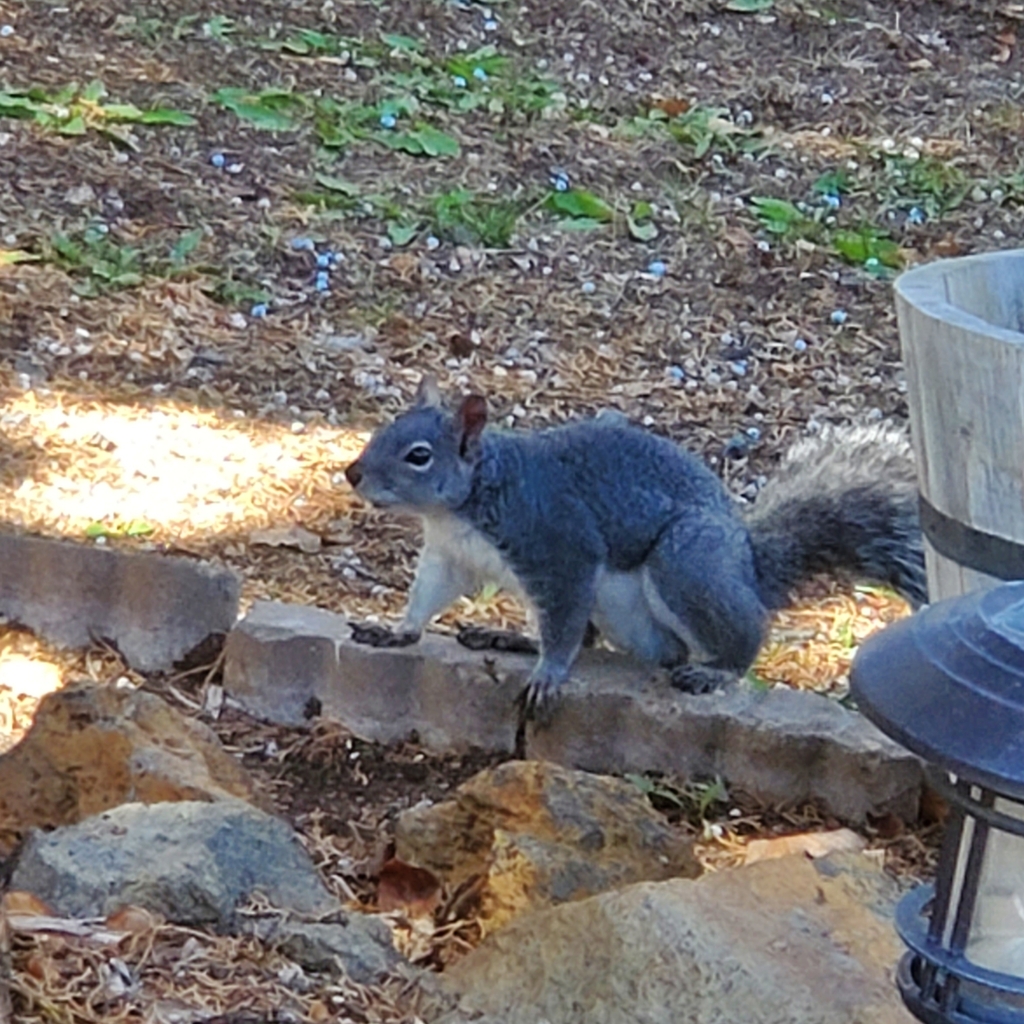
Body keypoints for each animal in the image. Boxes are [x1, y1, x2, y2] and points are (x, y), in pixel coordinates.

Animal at [344, 377, 926, 710]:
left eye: (419, 455)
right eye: (384, 429)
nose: (352, 473)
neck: (464, 502)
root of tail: (750, 566)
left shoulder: (561, 547)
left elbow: (564, 627)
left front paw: (548, 677)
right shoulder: (450, 555)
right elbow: (427, 599)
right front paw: (395, 631)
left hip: (686, 562)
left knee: (740, 633)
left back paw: (715, 671)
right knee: (593, 638)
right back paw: (508, 638)